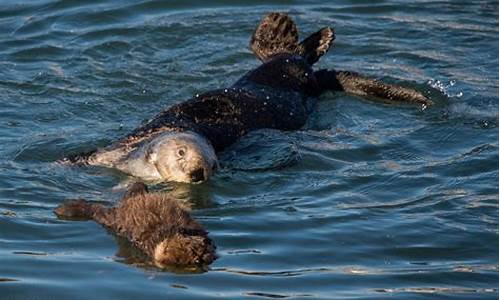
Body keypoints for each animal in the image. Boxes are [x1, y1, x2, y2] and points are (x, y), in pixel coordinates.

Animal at [65, 12, 434, 183]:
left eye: (212, 162)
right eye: (181, 153)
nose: (198, 173)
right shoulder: (112, 155)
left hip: (293, 83)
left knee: (296, 57)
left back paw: (296, 31)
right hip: (273, 76)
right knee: (288, 54)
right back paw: (287, 29)